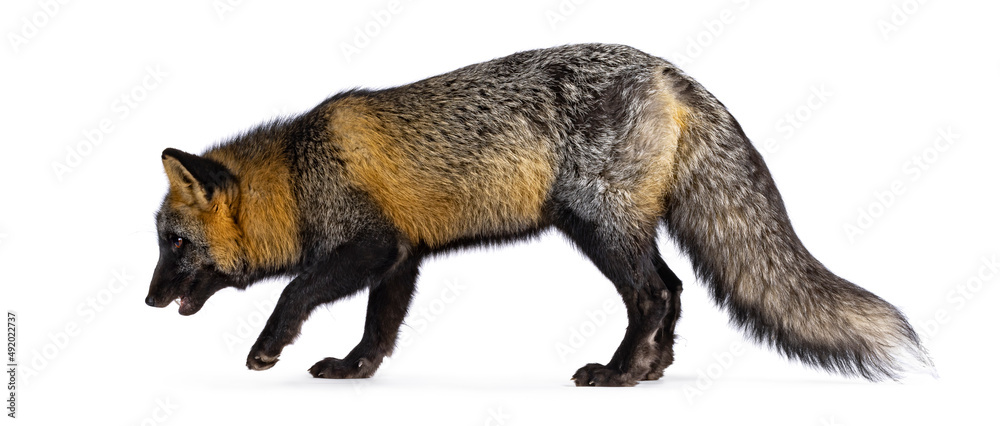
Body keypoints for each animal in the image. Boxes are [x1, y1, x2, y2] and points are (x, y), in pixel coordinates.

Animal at [144, 43, 933, 386]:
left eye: (174, 244)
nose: (148, 302)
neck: (300, 172)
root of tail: (666, 69)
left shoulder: (369, 244)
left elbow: (295, 290)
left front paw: (268, 348)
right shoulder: (403, 255)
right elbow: (381, 325)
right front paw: (356, 369)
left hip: (598, 226)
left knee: (653, 294)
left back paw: (617, 373)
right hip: (619, 227)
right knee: (674, 291)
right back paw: (652, 370)